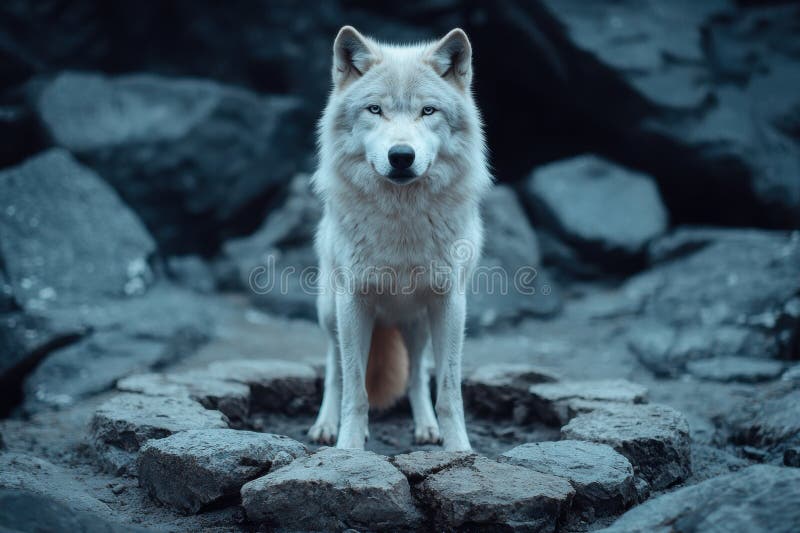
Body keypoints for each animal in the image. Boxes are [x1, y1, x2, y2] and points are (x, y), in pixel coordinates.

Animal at [308, 26, 491, 451]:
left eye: (428, 111)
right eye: (375, 109)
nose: (402, 155)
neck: (402, 224)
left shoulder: (450, 305)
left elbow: (449, 392)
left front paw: (460, 450)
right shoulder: (353, 302)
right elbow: (355, 391)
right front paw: (347, 450)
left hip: (417, 324)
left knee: (417, 376)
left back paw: (426, 428)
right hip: (330, 312)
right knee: (334, 368)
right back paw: (325, 425)